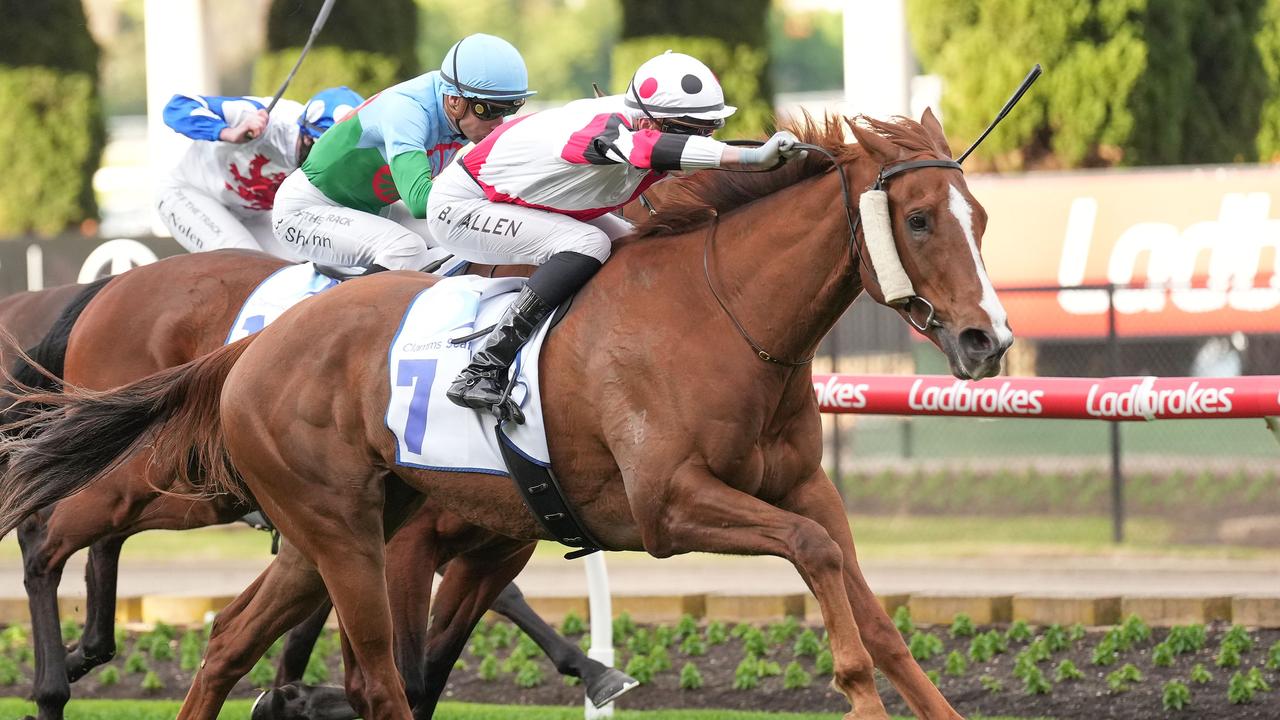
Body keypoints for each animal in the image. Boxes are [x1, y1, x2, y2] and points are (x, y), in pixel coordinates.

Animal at [0, 250, 630, 720]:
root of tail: (106, 290)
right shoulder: (403, 541)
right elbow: (404, 672)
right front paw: (289, 697)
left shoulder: (495, 546)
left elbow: (428, 657)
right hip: (157, 476)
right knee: (45, 534)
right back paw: (52, 686)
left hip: (195, 492)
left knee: (94, 537)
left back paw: (85, 653)